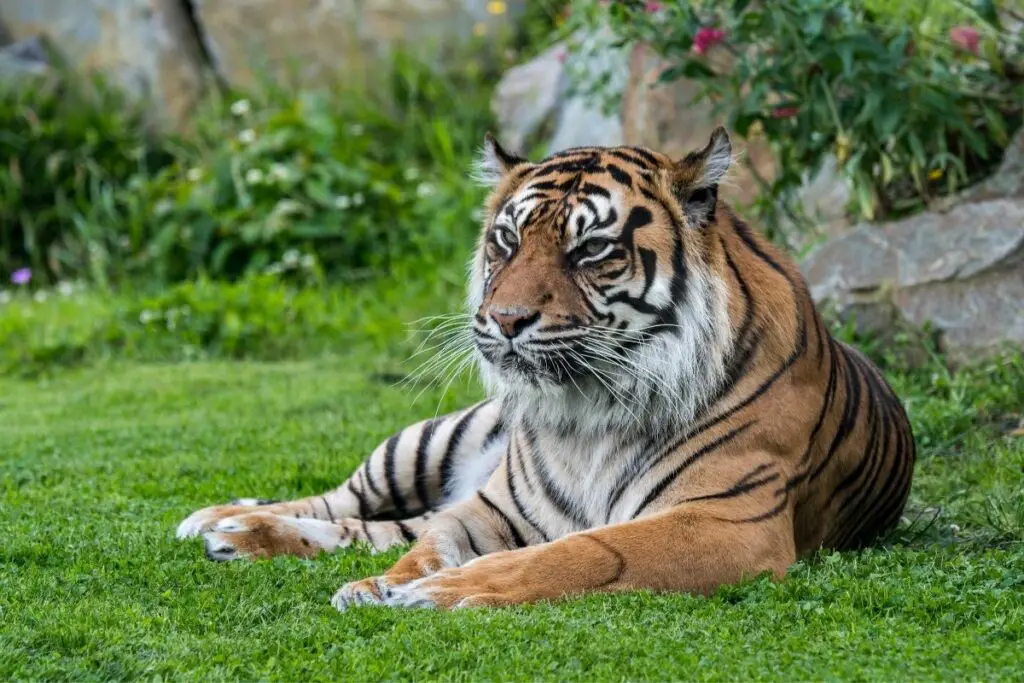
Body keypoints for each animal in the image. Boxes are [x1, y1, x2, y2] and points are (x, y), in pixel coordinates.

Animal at [176, 128, 916, 611]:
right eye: (506, 240)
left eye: (590, 250)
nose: (505, 319)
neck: (591, 412)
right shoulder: (490, 505)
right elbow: (427, 542)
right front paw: (383, 584)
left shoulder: (727, 522)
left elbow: (581, 551)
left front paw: (439, 591)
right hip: (426, 442)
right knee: (347, 502)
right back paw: (222, 521)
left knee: (371, 524)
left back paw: (232, 535)